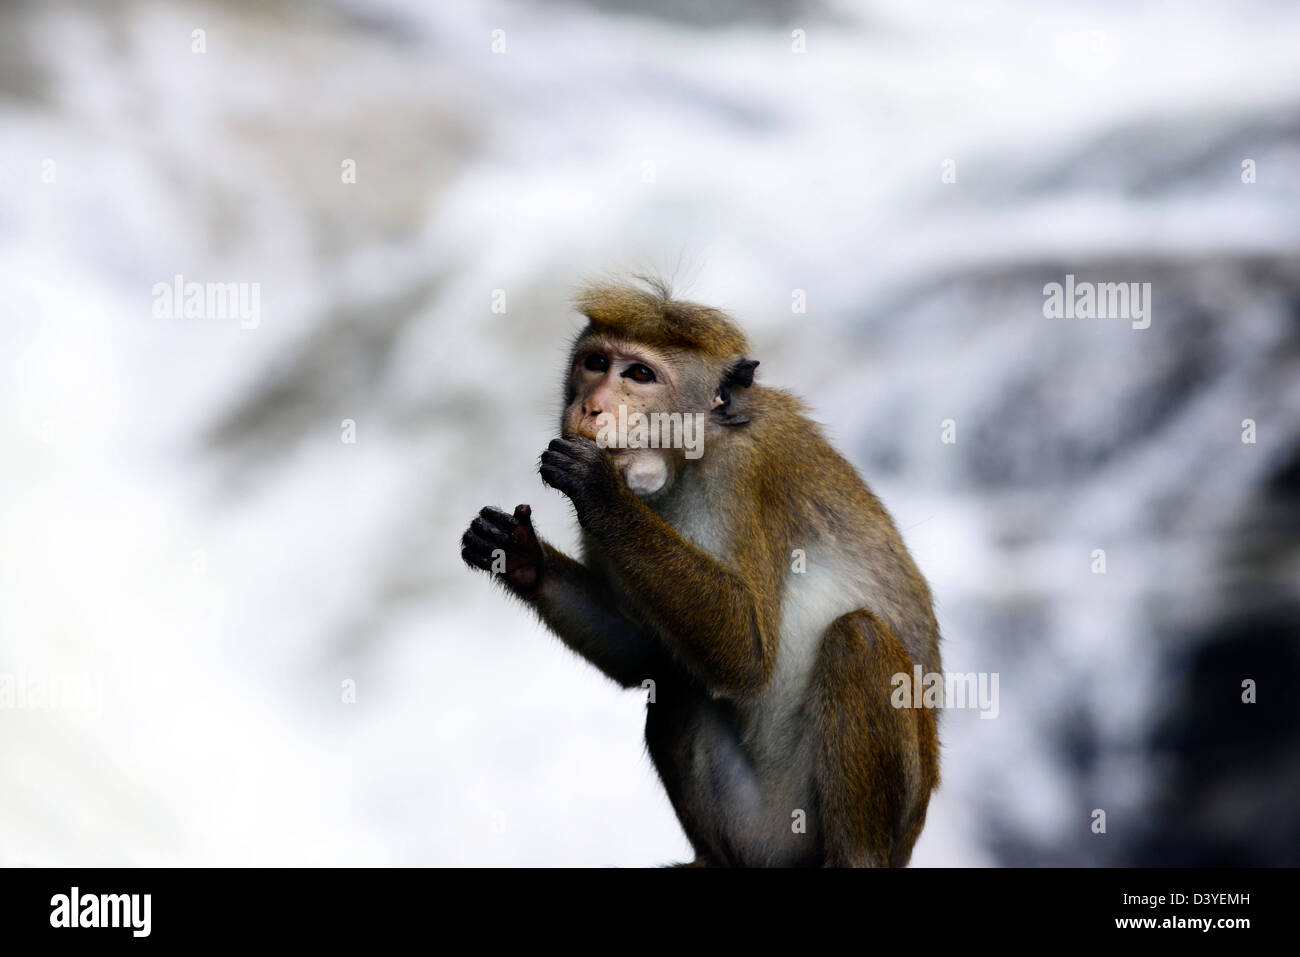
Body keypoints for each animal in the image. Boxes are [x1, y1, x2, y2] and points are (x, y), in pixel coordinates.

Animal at [460, 278, 940, 867]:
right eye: (595, 363)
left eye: (639, 375)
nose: (590, 406)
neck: (692, 455)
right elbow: (643, 655)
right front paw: (518, 553)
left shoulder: (747, 473)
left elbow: (746, 652)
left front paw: (597, 487)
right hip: (757, 831)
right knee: (673, 682)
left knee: (859, 639)